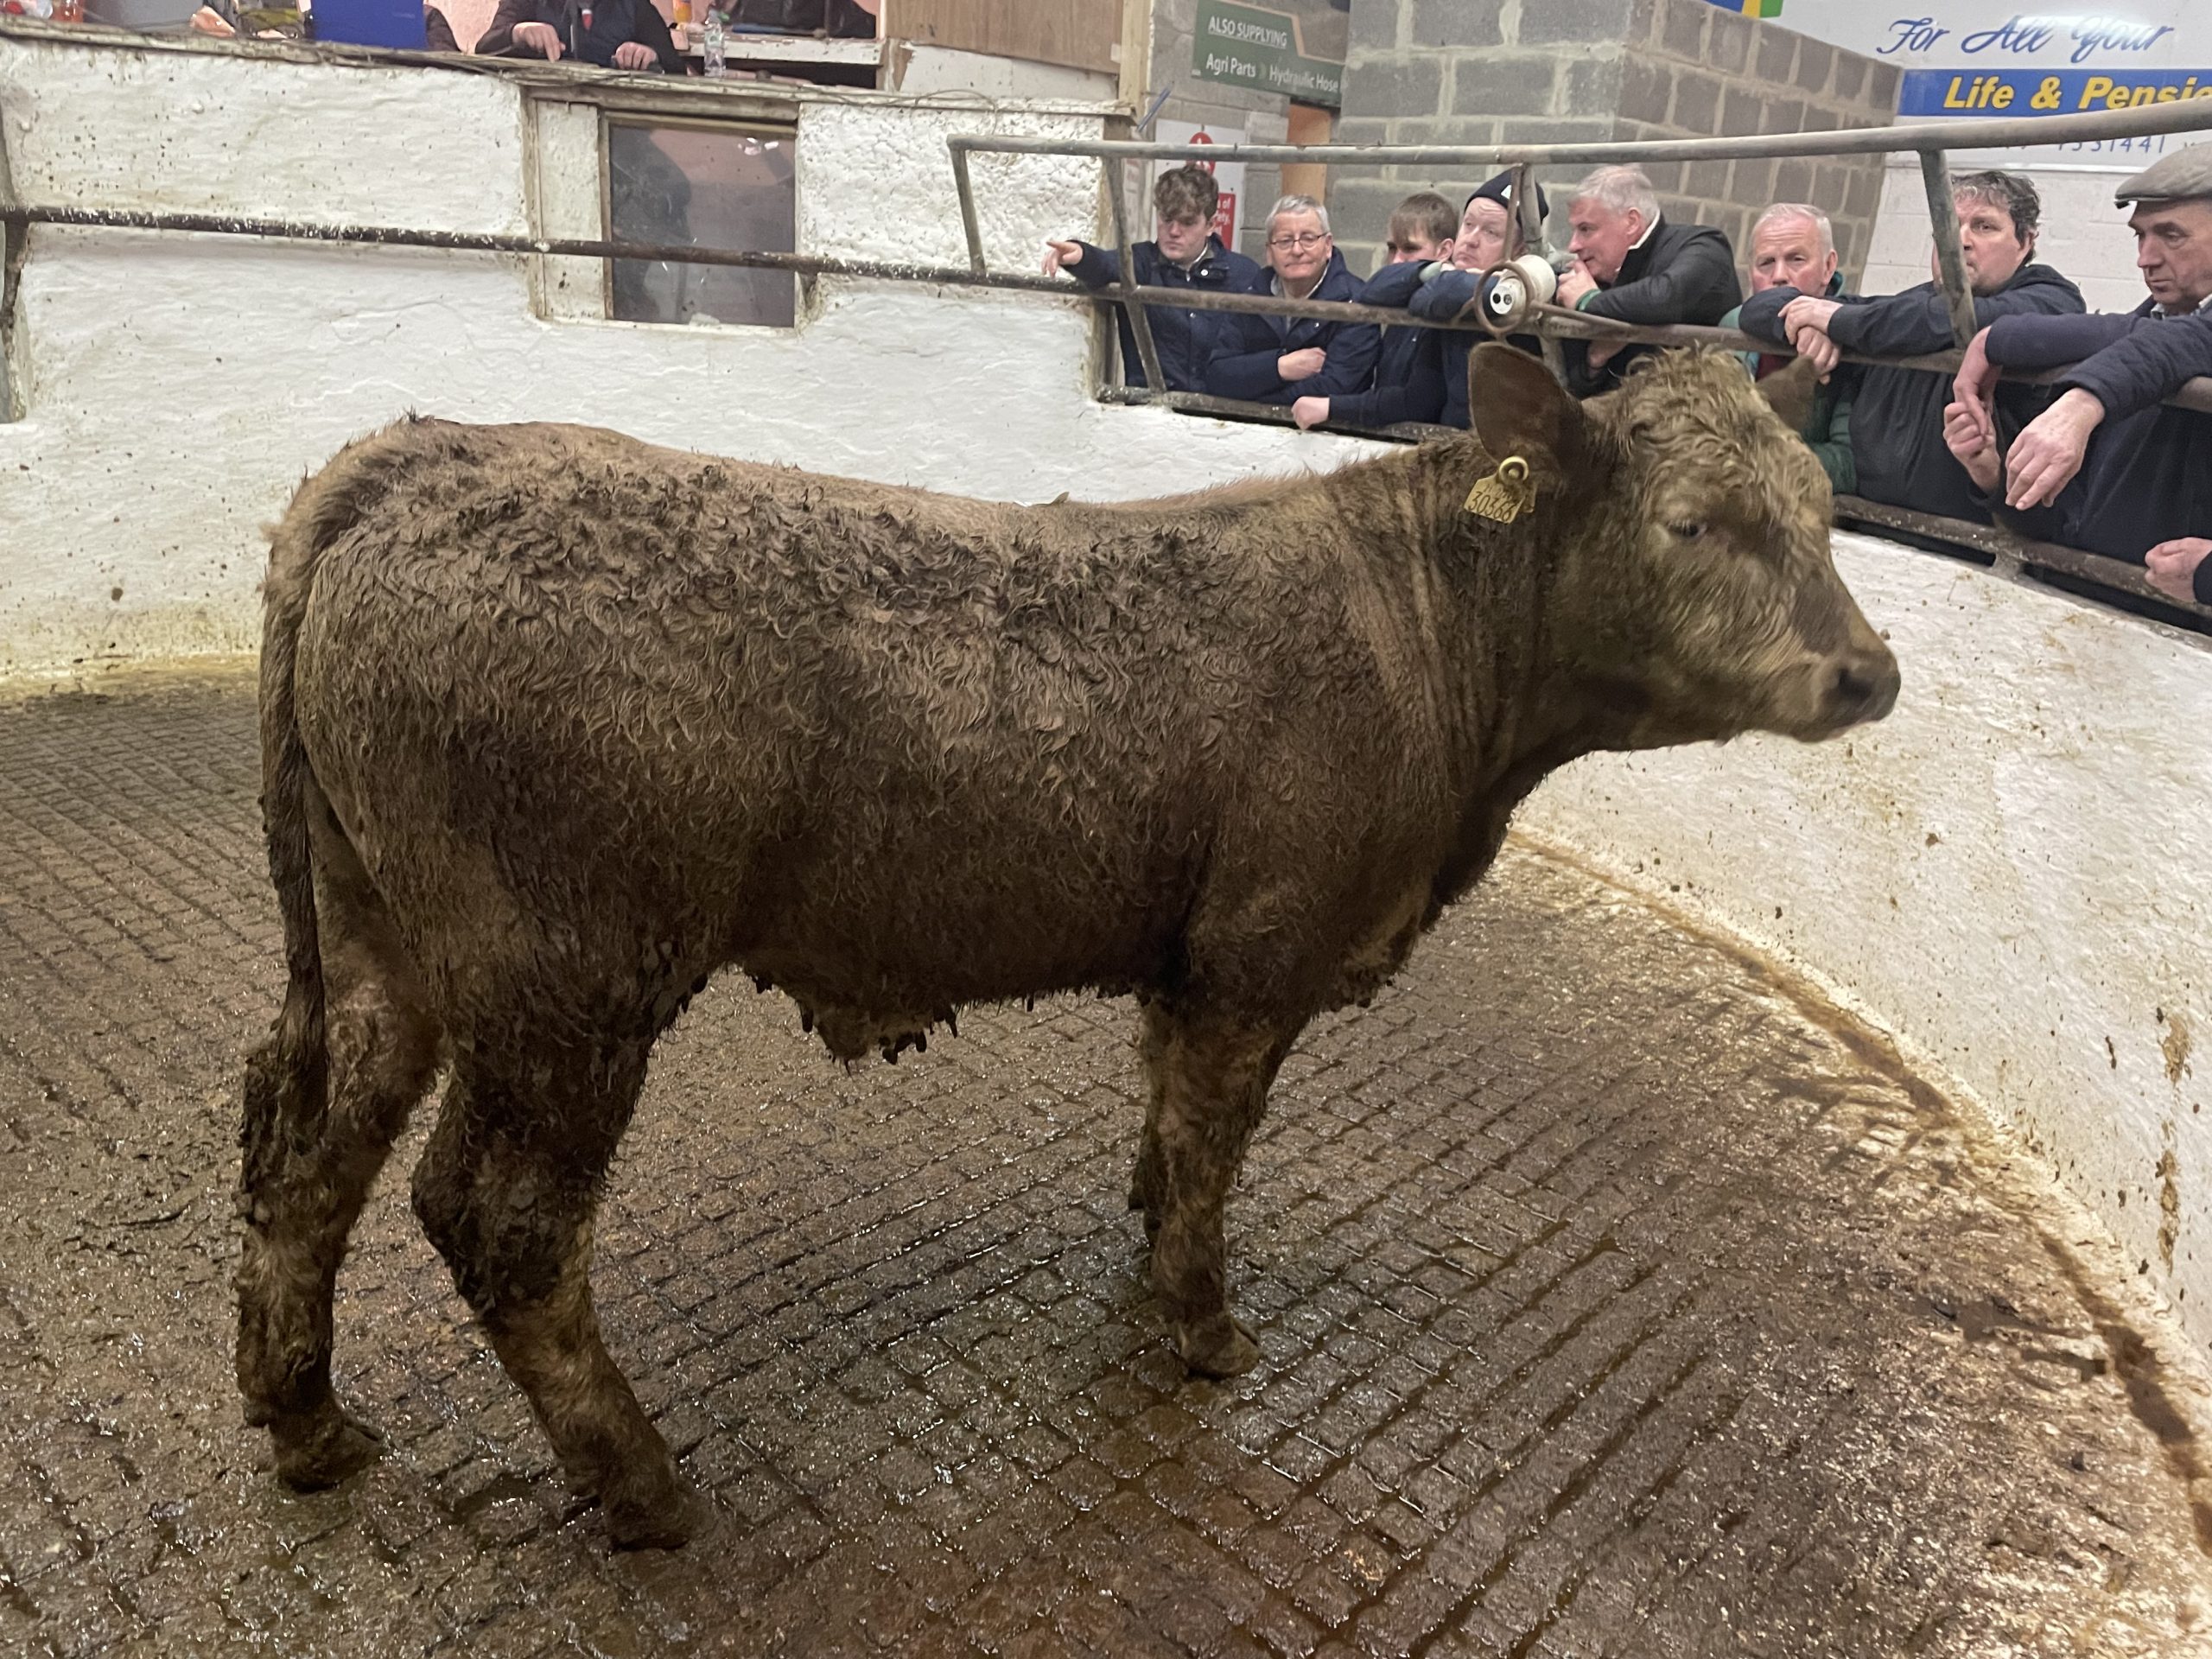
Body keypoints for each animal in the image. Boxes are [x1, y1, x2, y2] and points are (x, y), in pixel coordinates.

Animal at [235, 345, 1898, 1549]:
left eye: (1823, 517)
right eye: (1697, 523)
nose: (1869, 673)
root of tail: (405, 460)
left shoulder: (1187, 952)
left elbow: (1166, 1123)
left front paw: (1149, 1252)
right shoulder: (1260, 949)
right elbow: (1216, 1140)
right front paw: (1208, 1330)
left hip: (388, 946)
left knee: (305, 1151)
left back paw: (308, 1425)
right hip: (569, 979)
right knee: (499, 1224)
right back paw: (642, 1489)